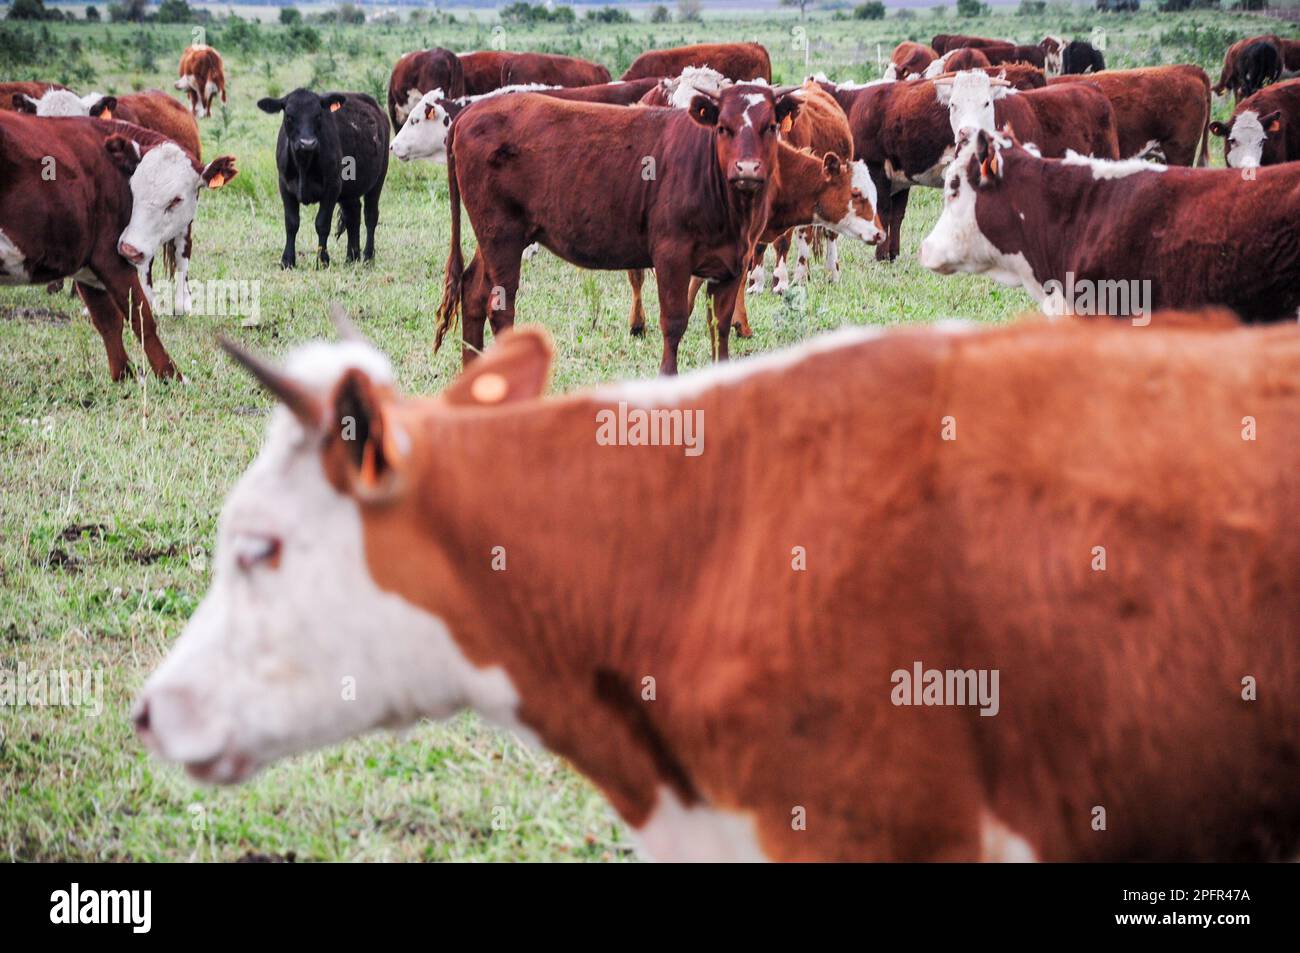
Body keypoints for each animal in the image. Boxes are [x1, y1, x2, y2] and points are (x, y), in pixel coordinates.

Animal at [0, 112, 235, 379]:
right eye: (133, 189)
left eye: (176, 200)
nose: (130, 249)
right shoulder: (110, 259)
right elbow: (141, 318)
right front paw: (170, 375)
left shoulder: (90, 265)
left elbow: (110, 321)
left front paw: (125, 376)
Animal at [257, 90, 389, 269]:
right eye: (289, 116)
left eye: (318, 115)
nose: (307, 143)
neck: (304, 165)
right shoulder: (284, 186)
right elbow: (291, 223)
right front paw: (287, 260)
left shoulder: (332, 188)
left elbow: (322, 224)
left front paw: (322, 260)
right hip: (349, 190)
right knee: (353, 215)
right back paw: (351, 257)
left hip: (378, 179)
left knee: (370, 216)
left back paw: (368, 257)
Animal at [436, 86, 803, 374]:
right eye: (724, 128)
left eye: (770, 126)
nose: (747, 169)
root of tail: (470, 111)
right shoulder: (672, 256)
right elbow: (674, 322)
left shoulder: (731, 263)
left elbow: (720, 326)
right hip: (502, 237)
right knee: (500, 307)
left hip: (496, 238)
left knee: (473, 292)